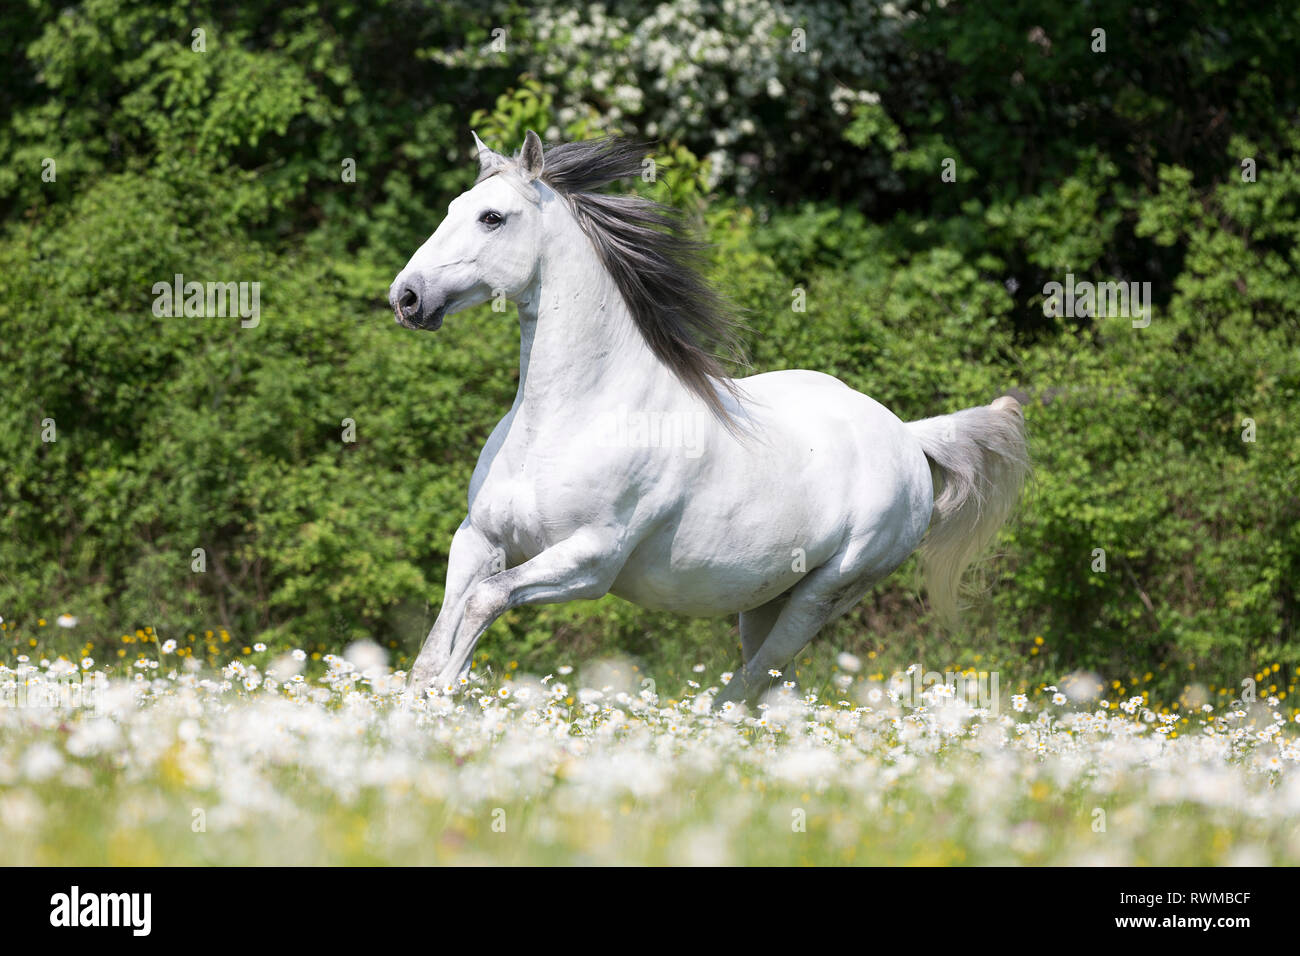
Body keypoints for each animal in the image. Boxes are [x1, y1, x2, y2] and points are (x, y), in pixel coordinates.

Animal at [389, 130, 1029, 706]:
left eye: (492, 217)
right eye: (452, 208)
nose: (407, 297)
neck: (566, 419)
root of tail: (907, 437)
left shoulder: (590, 562)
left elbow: (486, 600)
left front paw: (445, 701)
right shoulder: (478, 538)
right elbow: (437, 640)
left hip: (824, 595)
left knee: (743, 690)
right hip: (764, 601)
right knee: (773, 693)